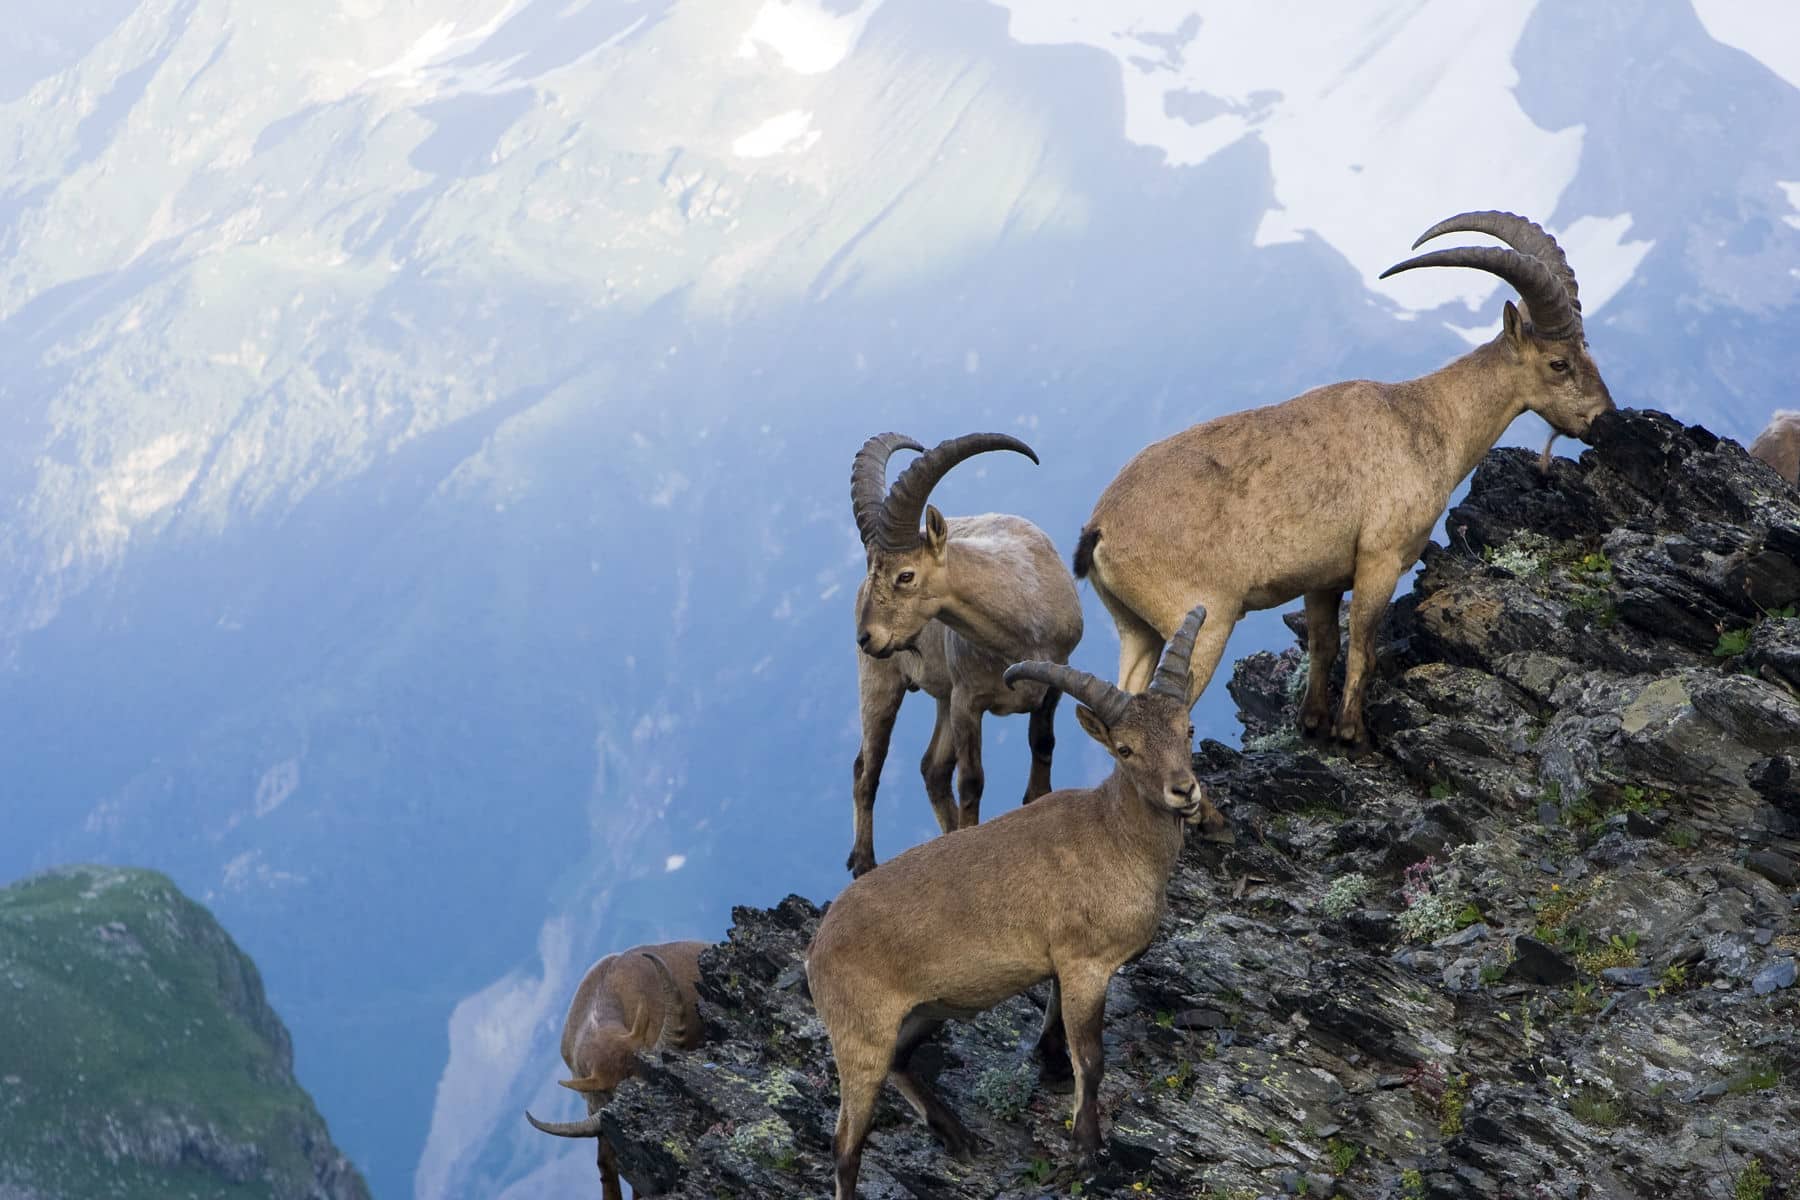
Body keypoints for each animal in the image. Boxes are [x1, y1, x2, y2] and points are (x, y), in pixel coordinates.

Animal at [807, 606, 1232, 1199]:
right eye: (1124, 749)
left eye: (1186, 729)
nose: (1184, 792)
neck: (1114, 835)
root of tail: (816, 950)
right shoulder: (1086, 967)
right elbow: (1091, 1059)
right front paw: (1085, 1150)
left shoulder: (1060, 966)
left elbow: (1055, 1029)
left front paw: (1050, 1069)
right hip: (859, 1036)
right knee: (845, 1146)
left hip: (926, 1009)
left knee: (900, 1059)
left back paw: (957, 1135)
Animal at [846, 432, 1083, 876]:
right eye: (873, 570)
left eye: (906, 575)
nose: (866, 638)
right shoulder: (967, 702)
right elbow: (971, 780)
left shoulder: (1055, 678)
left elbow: (1043, 742)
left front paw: (1038, 801)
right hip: (883, 684)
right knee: (867, 769)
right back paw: (864, 862)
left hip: (941, 695)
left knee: (931, 768)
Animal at [1075, 211, 1614, 747]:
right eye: (1559, 362)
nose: (1601, 418)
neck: (1426, 419)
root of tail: (1099, 529)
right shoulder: (1379, 558)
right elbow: (1362, 648)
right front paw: (1351, 732)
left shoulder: (1323, 578)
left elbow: (1324, 646)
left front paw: (1313, 722)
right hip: (1201, 620)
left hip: (1137, 631)